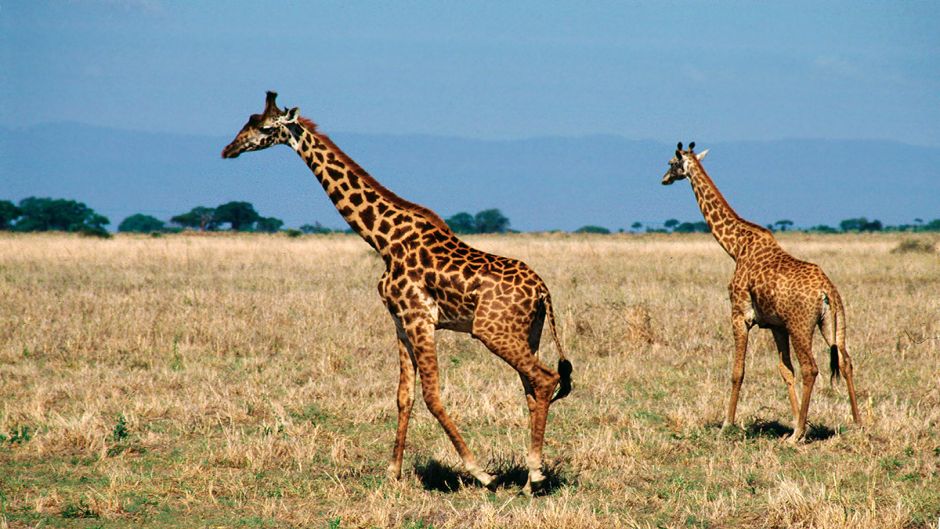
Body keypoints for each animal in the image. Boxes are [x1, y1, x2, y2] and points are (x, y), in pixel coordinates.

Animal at [222, 92, 572, 494]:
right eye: (248, 121)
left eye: (264, 128)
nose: (229, 149)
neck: (383, 239)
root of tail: (544, 292)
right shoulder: (401, 322)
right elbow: (404, 396)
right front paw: (393, 473)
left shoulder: (419, 319)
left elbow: (432, 396)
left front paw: (480, 472)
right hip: (527, 332)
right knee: (532, 387)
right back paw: (531, 479)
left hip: (493, 331)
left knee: (545, 379)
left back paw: (535, 473)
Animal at [661, 142, 860, 442]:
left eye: (672, 163)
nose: (663, 179)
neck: (736, 247)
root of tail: (827, 291)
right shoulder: (776, 326)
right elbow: (785, 370)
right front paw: (796, 420)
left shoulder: (740, 315)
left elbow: (738, 371)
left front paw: (727, 424)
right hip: (833, 323)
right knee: (846, 361)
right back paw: (859, 424)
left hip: (801, 326)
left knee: (811, 368)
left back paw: (797, 437)